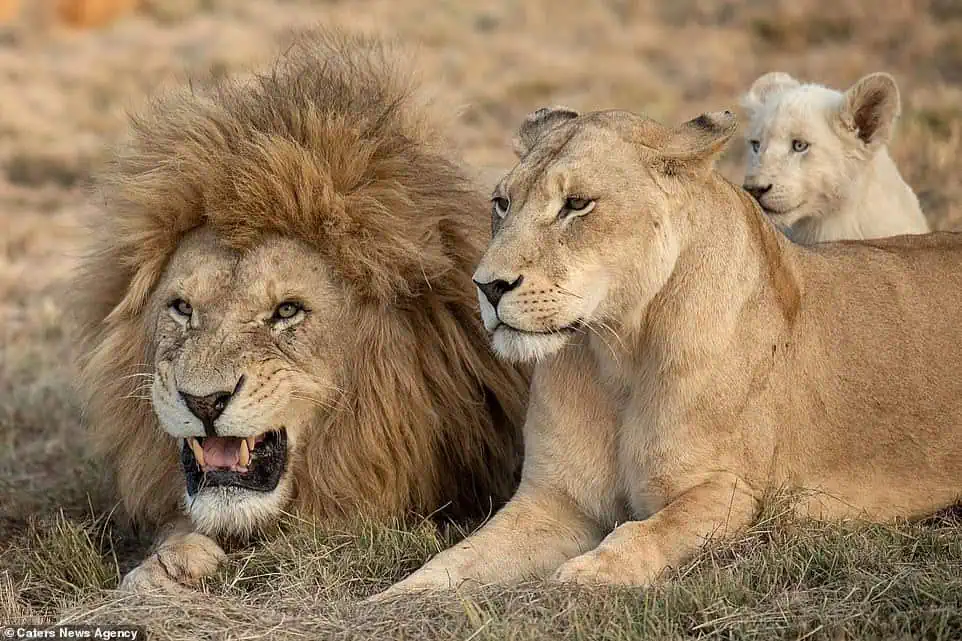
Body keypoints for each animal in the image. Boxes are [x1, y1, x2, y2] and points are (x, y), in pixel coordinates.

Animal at [374, 106, 962, 597]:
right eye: (502, 203)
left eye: (576, 205)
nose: (488, 286)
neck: (617, 354)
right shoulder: (553, 501)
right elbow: (457, 559)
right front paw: (395, 599)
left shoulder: (727, 492)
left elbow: (643, 533)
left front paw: (586, 575)